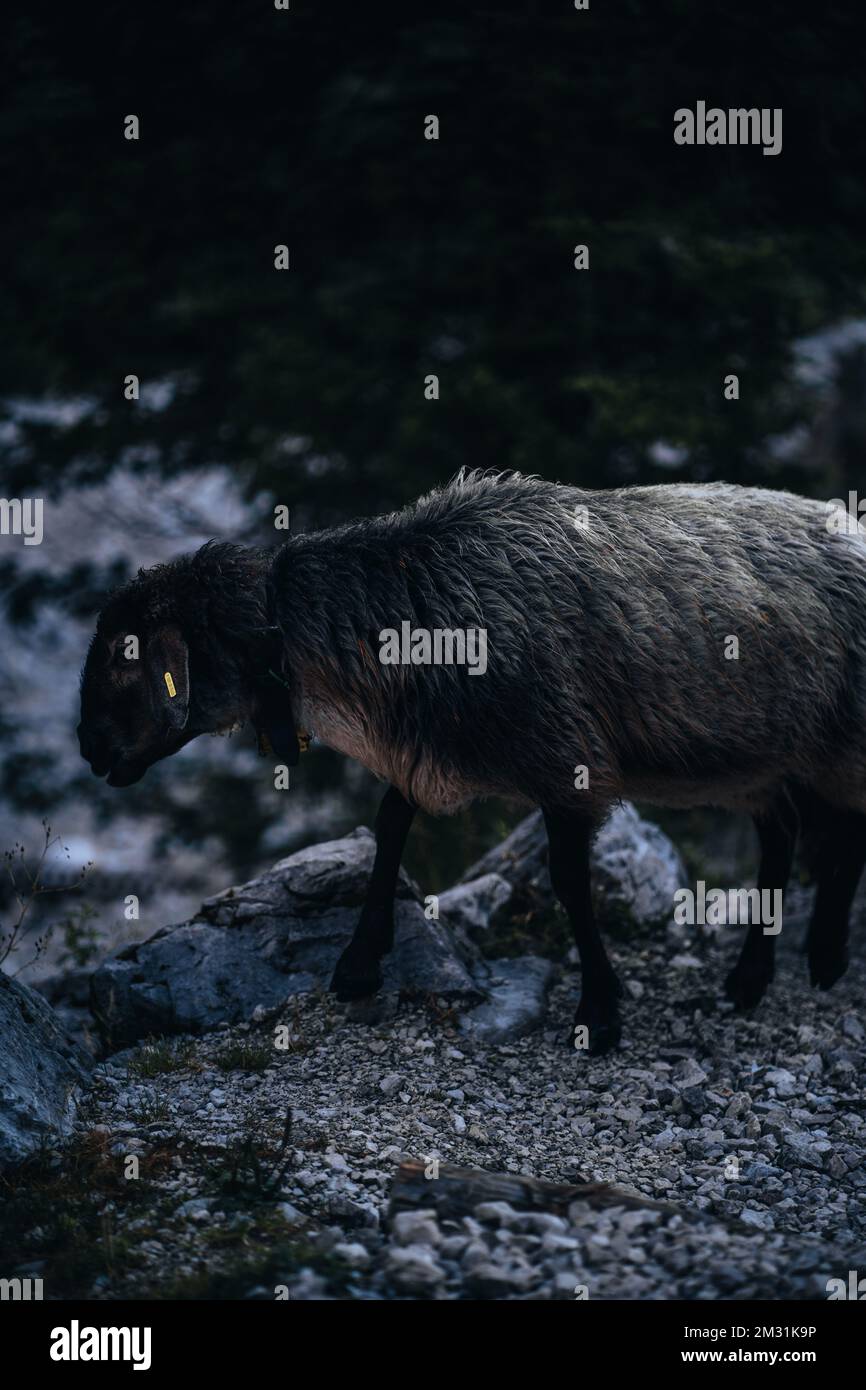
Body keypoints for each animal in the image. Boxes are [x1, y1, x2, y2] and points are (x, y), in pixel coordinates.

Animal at [78, 470, 866, 1053]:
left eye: (123, 657)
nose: (89, 749)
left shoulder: (567, 760)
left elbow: (569, 884)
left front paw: (599, 1012)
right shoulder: (429, 750)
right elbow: (388, 826)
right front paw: (359, 965)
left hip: (837, 738)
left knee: (840, 837)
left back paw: (825, 958)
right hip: (759, 756)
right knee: (784, 836)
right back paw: (755, 978)